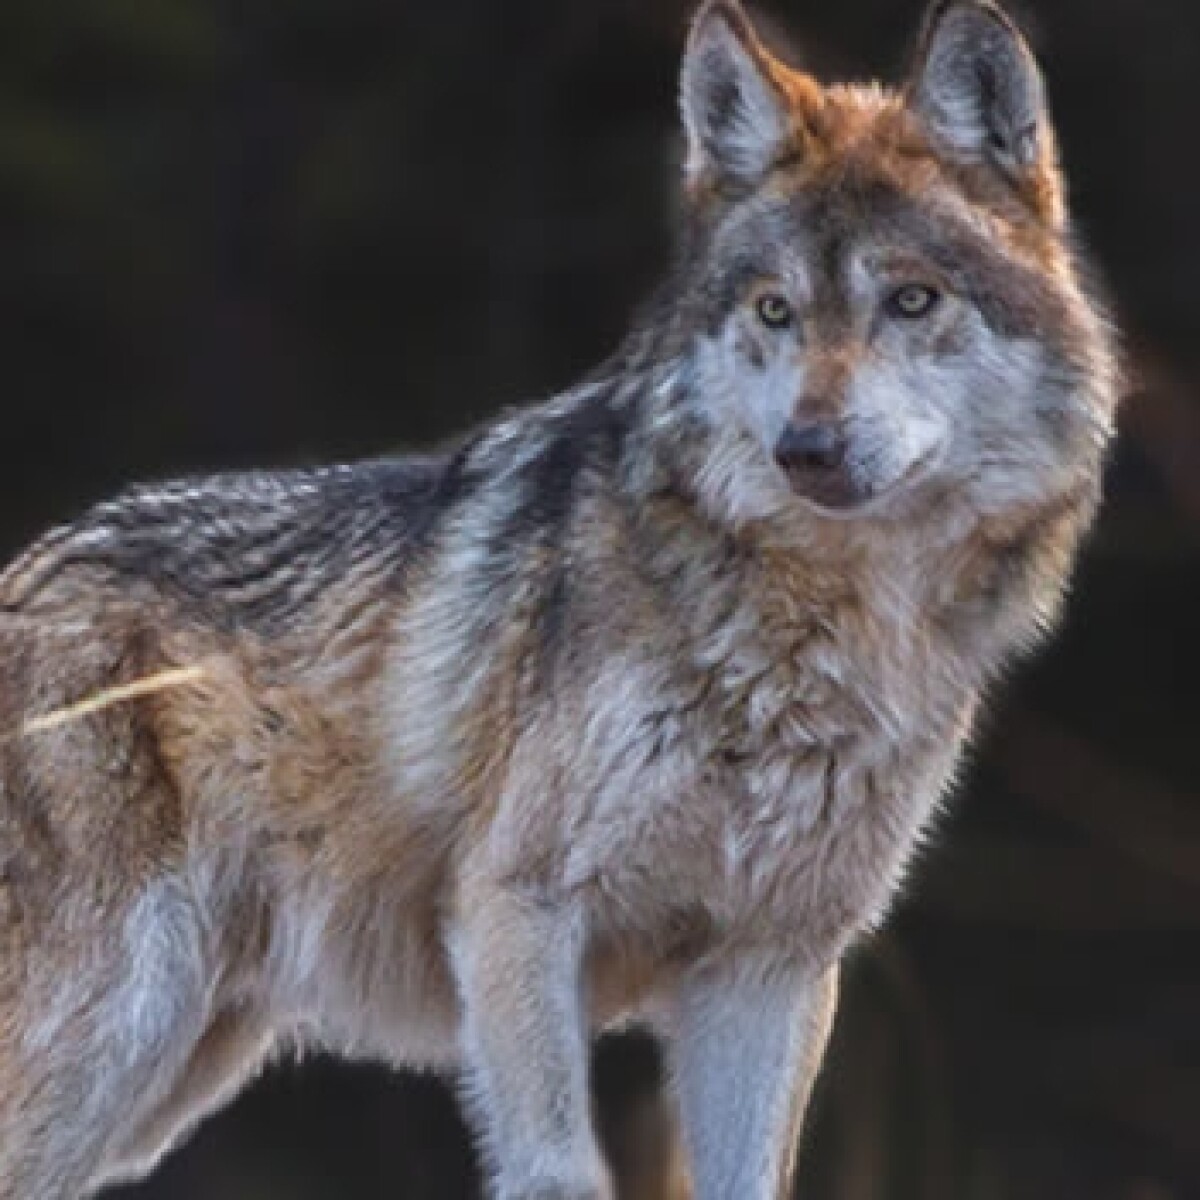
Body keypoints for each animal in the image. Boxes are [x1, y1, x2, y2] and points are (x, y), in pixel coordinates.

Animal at [0, 1, 1116, 1197]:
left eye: (912, 301)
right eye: (774, 310)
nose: (805, 449)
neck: (810, 632)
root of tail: (25, 568)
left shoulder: (767, 967)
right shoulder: (520, 913)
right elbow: (562, 1167)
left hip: (171, 1069)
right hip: (118, 1035)